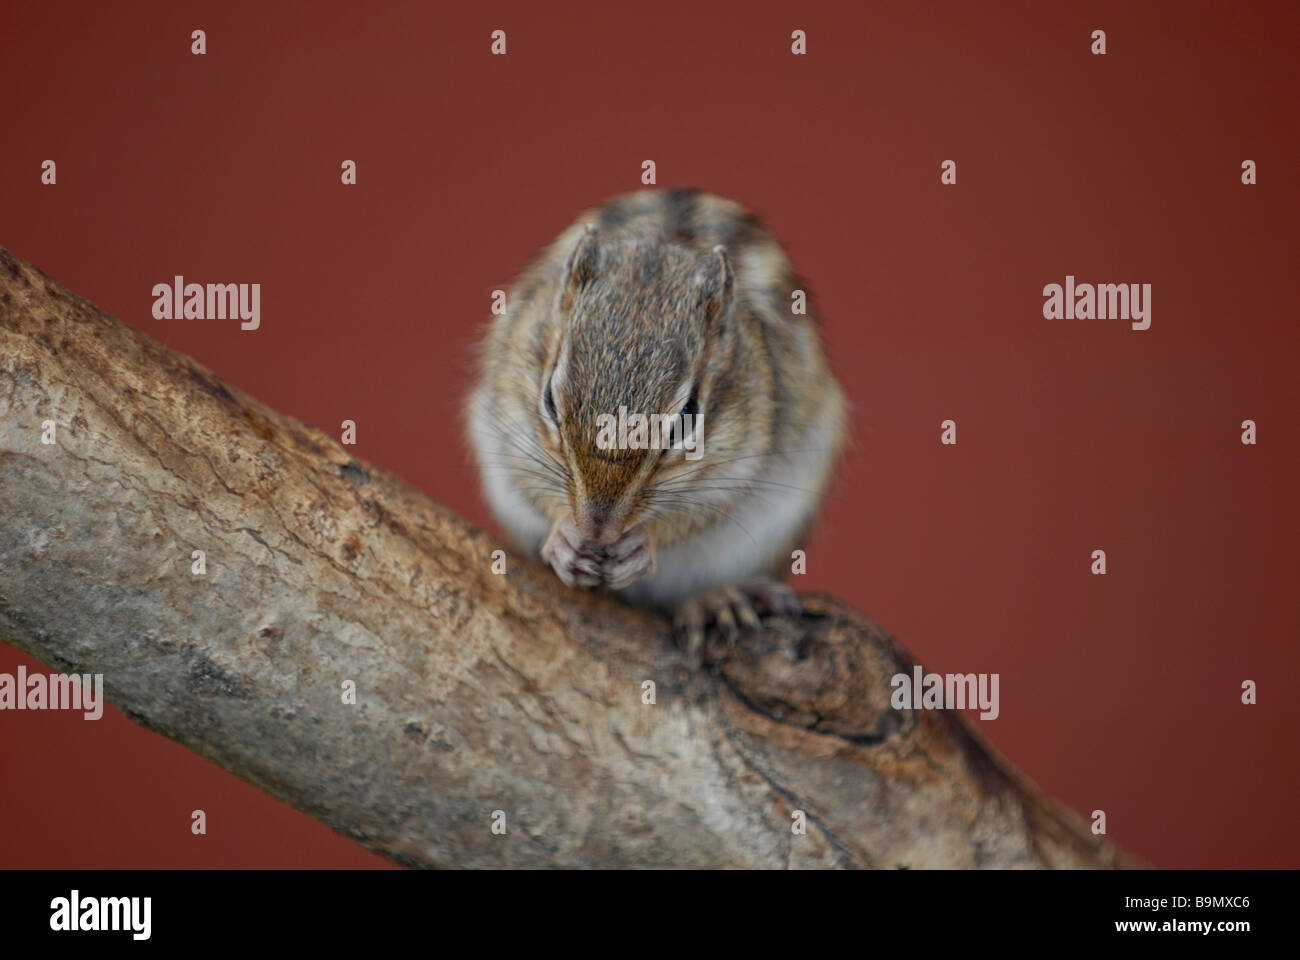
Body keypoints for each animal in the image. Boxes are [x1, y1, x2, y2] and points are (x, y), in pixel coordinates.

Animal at [467, 188, 847, 661]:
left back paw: (715, 600)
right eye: (550, 401)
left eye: (686, 419)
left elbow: (698, 514)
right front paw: (564, 540)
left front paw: (640, 544)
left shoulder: (742, 459)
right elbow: (531, 483)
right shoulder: (510, 422)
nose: (598, 530)